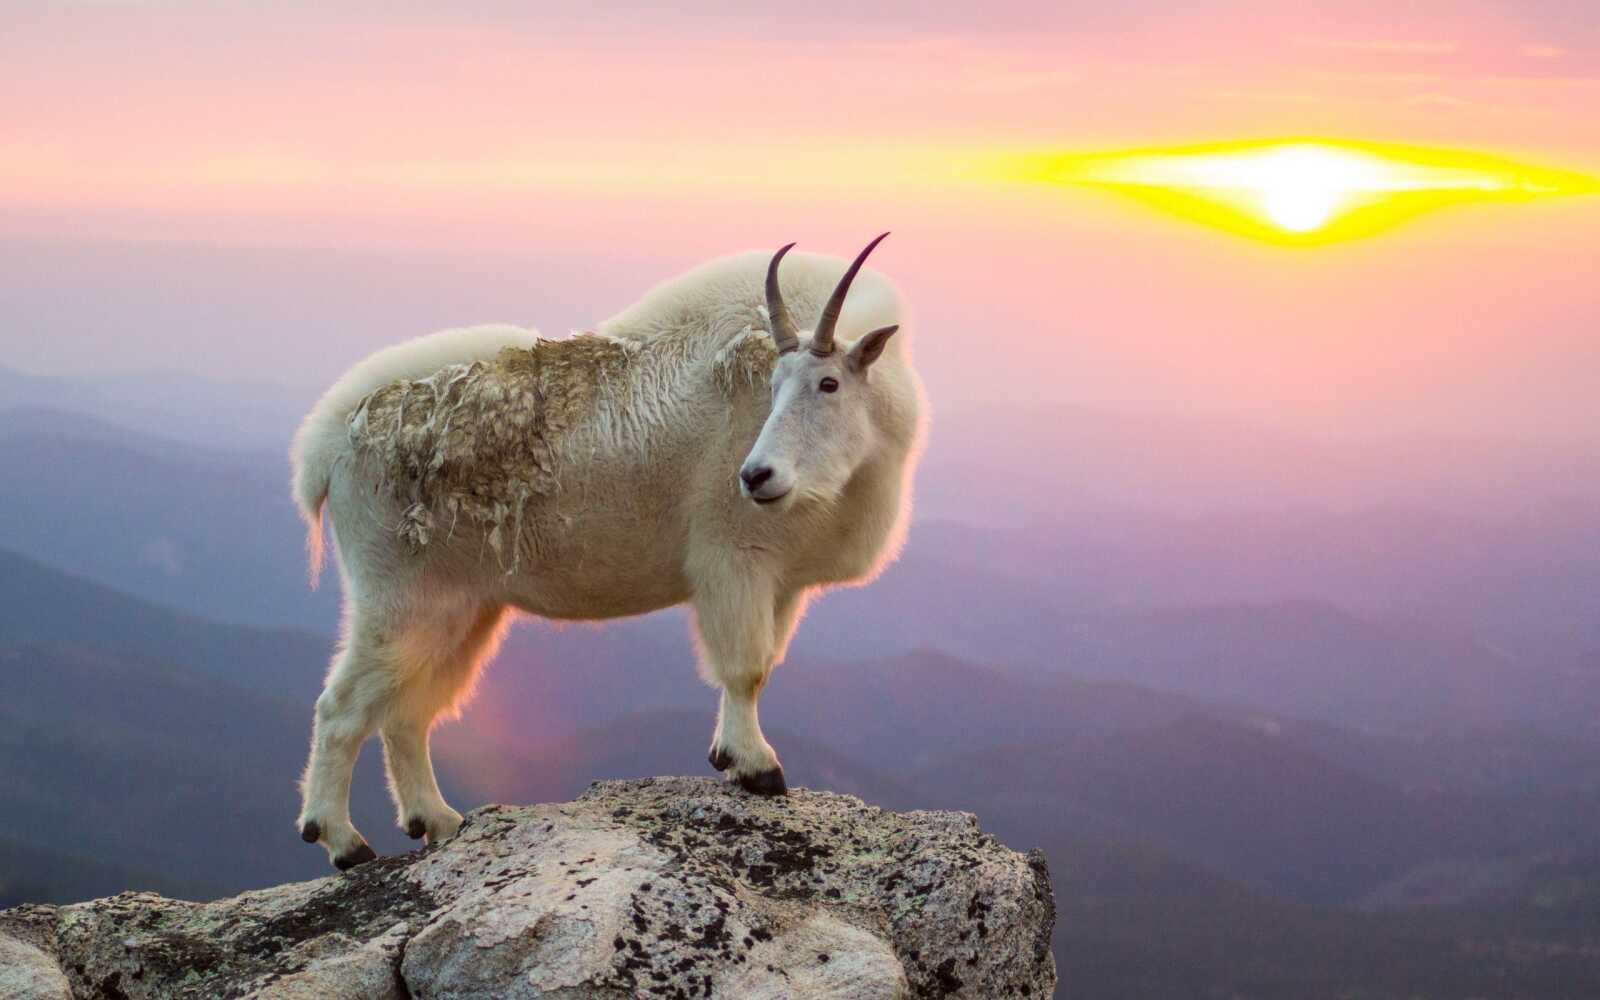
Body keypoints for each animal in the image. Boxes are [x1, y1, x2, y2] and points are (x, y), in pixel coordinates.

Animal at [290, 236, 924, 869]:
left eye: (828, 384)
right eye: (773, 387)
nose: (756, 476)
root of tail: (326, 449)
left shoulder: (782, 580)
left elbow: (763, 666)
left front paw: (728, 756)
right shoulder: (734, 557)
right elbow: (745, 669)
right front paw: (757, 768)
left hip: (462, 607)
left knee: (407, 713)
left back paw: (437, 820)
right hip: (397, 594)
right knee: (340, 707)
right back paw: (342, 840)